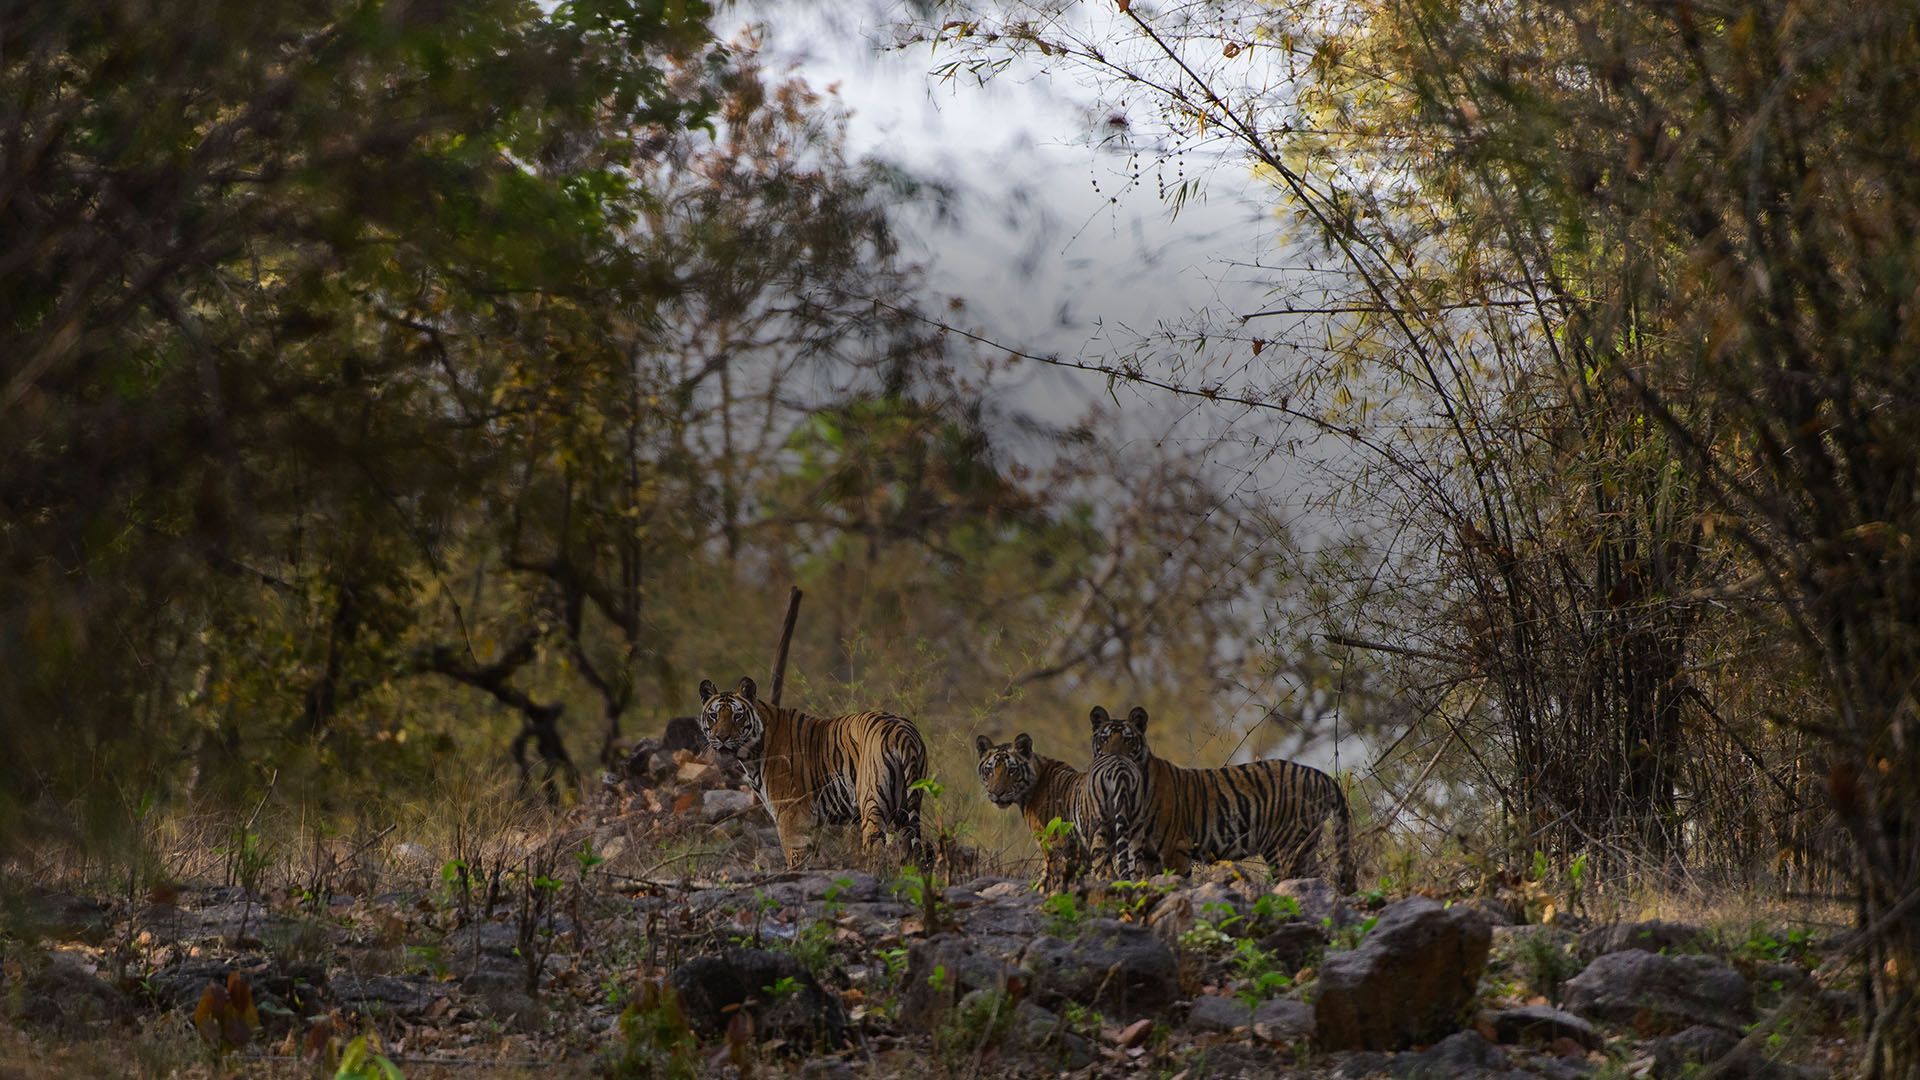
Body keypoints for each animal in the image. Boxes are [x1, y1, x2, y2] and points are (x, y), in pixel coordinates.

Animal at [698, 677, 928, 869]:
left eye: (737, 715)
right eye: (713, 715)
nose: (722, 737)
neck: (752, 753)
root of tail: (902, 731)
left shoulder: (791, 817)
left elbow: (795, 859)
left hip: (873, 804)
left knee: (877, 853)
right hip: (906, 811)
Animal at [1089, 705, 1356, 891]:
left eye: (1127, 739)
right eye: (1104, 738)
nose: (1113, 756)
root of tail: (1320, 775)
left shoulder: (1176, 847)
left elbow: (1178, 883)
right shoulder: (1143, 852)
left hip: (1286, 846)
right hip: (1304, 845)